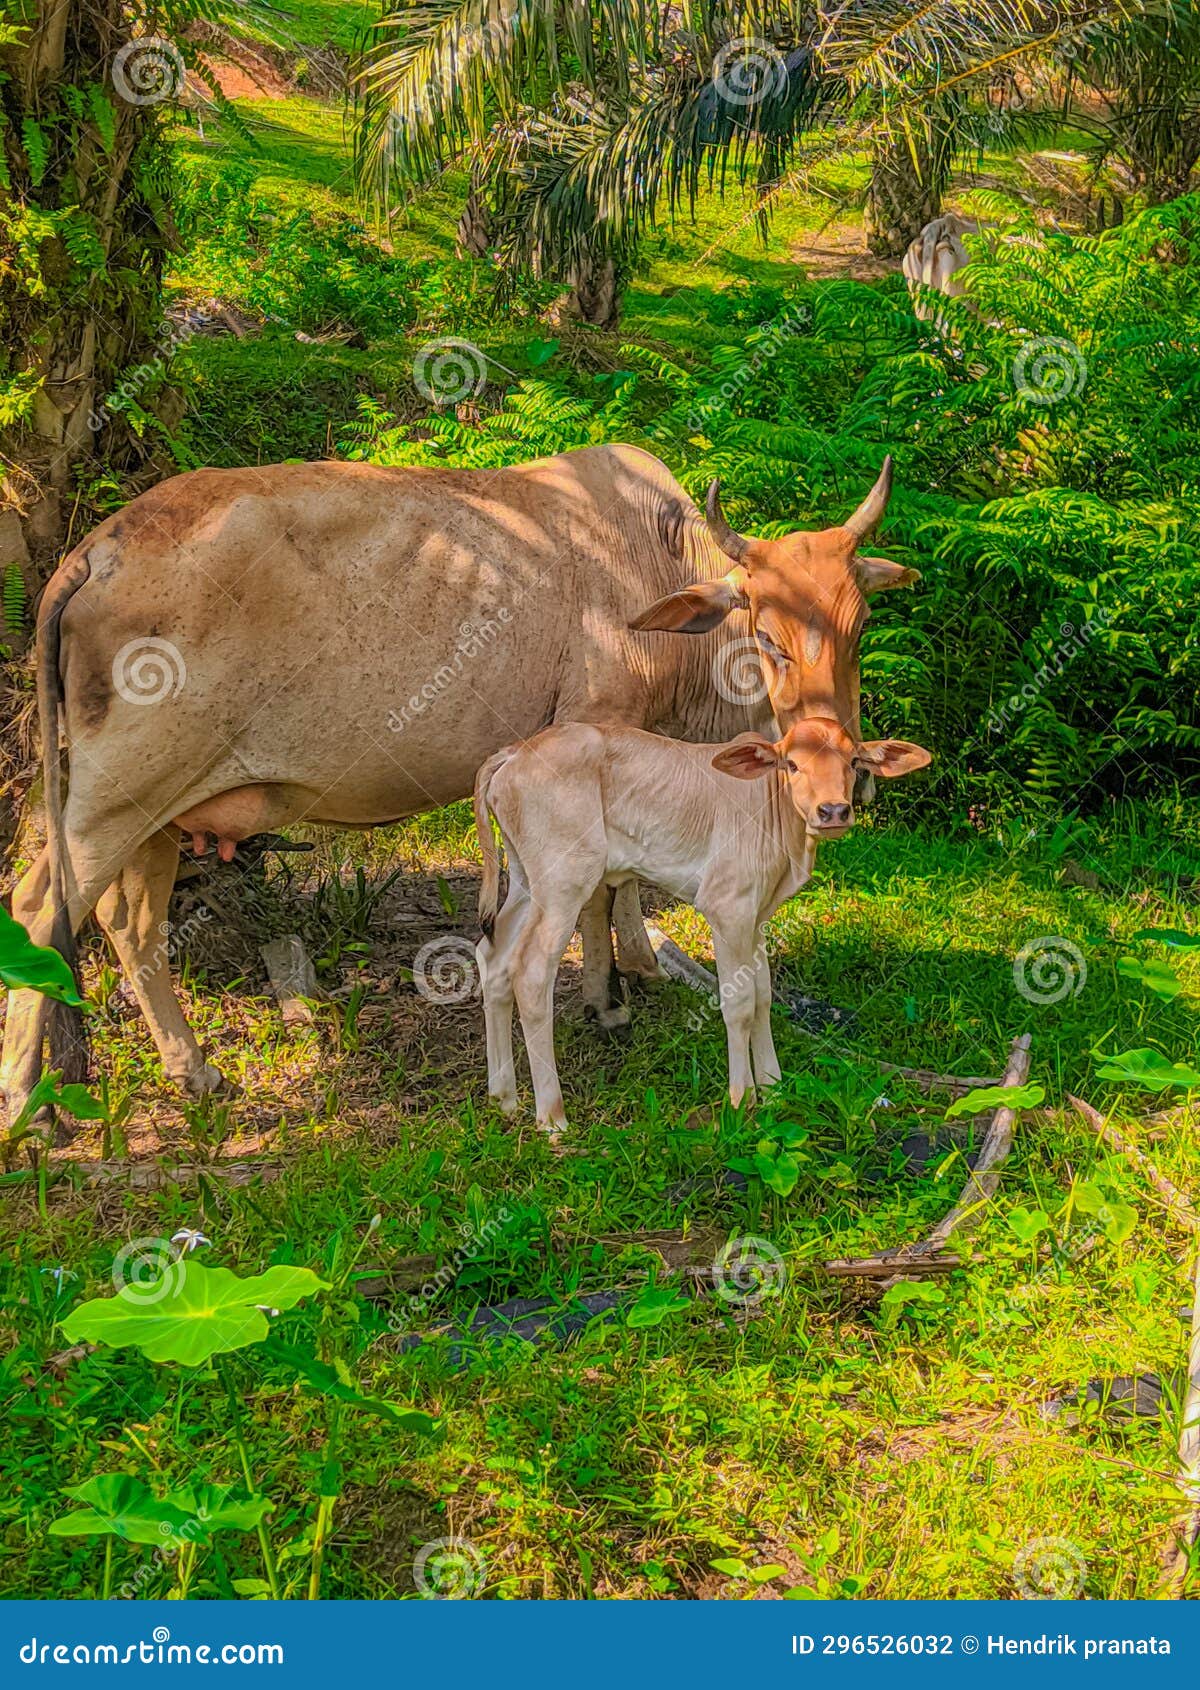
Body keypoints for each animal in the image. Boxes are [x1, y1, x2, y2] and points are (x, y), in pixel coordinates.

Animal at [473, 718, 931, 1127]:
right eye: (792, 764)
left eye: (854, 762)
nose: (834, 811)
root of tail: (515, 752)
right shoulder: (726, 907)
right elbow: (739, 1003)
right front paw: (742, 1098)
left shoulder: (756, 915)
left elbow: (763, 996)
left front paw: (773, 1087)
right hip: (563, 884)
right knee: (531, 974)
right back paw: (551, 1117)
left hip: (527, 882)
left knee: (493, 958)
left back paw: (504, 1097)